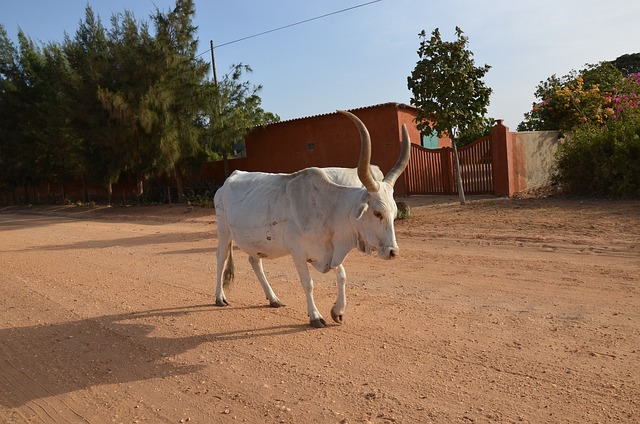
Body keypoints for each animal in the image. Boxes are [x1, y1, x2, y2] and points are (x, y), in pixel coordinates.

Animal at [213, 110, 411, 327]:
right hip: (224, 232)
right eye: (377, 213)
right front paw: (315, 316)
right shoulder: (298, 252)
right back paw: (220, 297)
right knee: (221, 258)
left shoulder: (330, 251)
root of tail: (229, 179)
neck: (328, 208)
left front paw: (338, 311)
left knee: (255, 262)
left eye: (394, 213)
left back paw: (273, 299)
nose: (393, 252)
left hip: (256, 242)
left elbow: (342, 275)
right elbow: (308, 284)